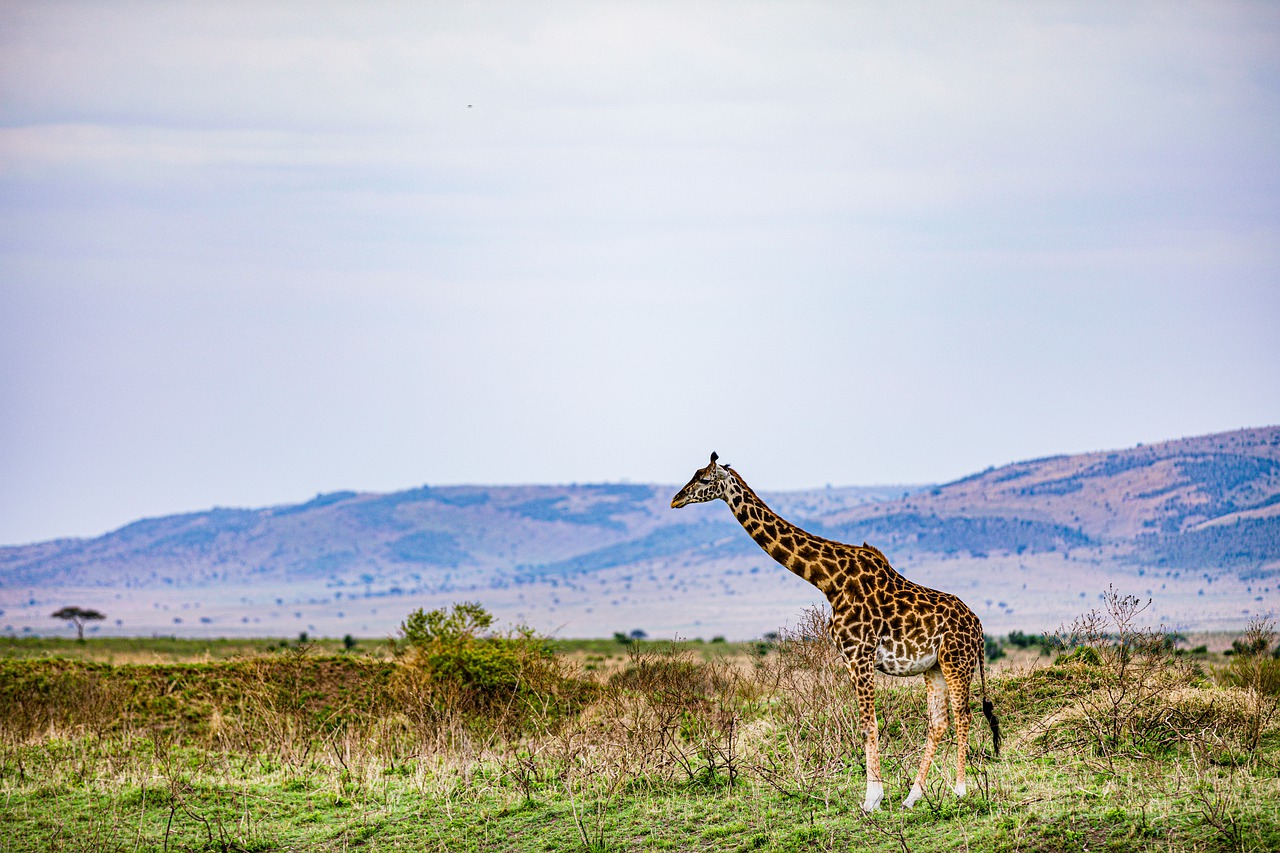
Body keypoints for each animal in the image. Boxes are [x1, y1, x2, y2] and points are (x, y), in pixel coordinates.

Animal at [671, 452, 1000, 813]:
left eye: (704, 479)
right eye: (693, 475)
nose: (676, 499)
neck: (829, 580)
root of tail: (979, 626)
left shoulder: (860, 654)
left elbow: (868, 725)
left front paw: (872, 799)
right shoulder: (850, 657)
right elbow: (869, 724)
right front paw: (878, 796)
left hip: (957, 661)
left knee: (963, 714)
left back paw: (960, 790)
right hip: (935, 667)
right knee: (939, 722)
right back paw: (913, 797)